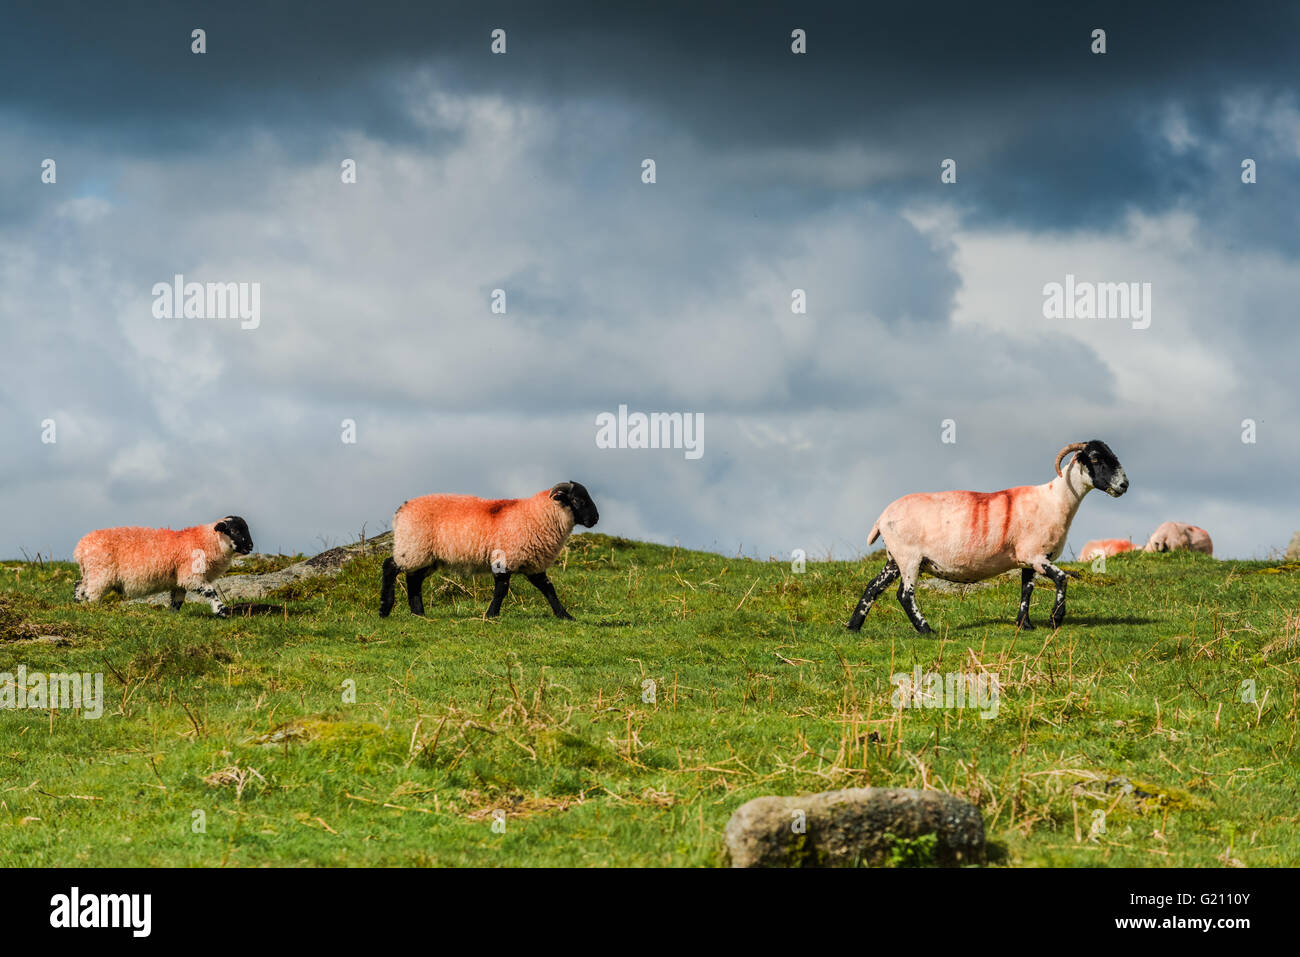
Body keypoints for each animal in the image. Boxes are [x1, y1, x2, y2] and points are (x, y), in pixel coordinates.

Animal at [73, 516, 254, 617]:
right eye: (235, 531)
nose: (251, 546)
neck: (205, 541)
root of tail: (81, 547)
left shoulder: (180, 581)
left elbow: (177, 601)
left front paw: (172, 615)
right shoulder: (191, 575)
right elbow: (211, 592)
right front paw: (222, 611)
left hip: (91, 573)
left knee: (79, 585)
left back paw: (78, 605)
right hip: (100, 573)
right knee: (92, 594)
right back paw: (93, 611)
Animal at [379, 481, 599, 620]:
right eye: (578, 500)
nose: (595, 519)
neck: (536, 515)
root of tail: (401, 510)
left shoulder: (532, 564)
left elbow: (548, 589)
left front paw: (565, 615)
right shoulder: (505, 559)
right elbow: (501, 590)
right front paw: (491, 614)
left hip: (425, 556)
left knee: (413, 580)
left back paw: (418, 613)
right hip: (412, 547)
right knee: (390, 567)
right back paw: (384, 609)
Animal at [846, 441, 1128, 634]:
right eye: (1095, 458)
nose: (1124, 485)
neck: (1056, 499)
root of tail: (882, 518)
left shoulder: (1027, 558)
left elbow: (1026, 590)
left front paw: (1024, 624)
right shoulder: (1035, 555)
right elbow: (1062, 579)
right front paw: (1055, 619)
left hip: (894, 558)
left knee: (872, 587)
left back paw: (853, 626)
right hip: (909, 557)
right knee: (905, 595)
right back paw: (926, 629)